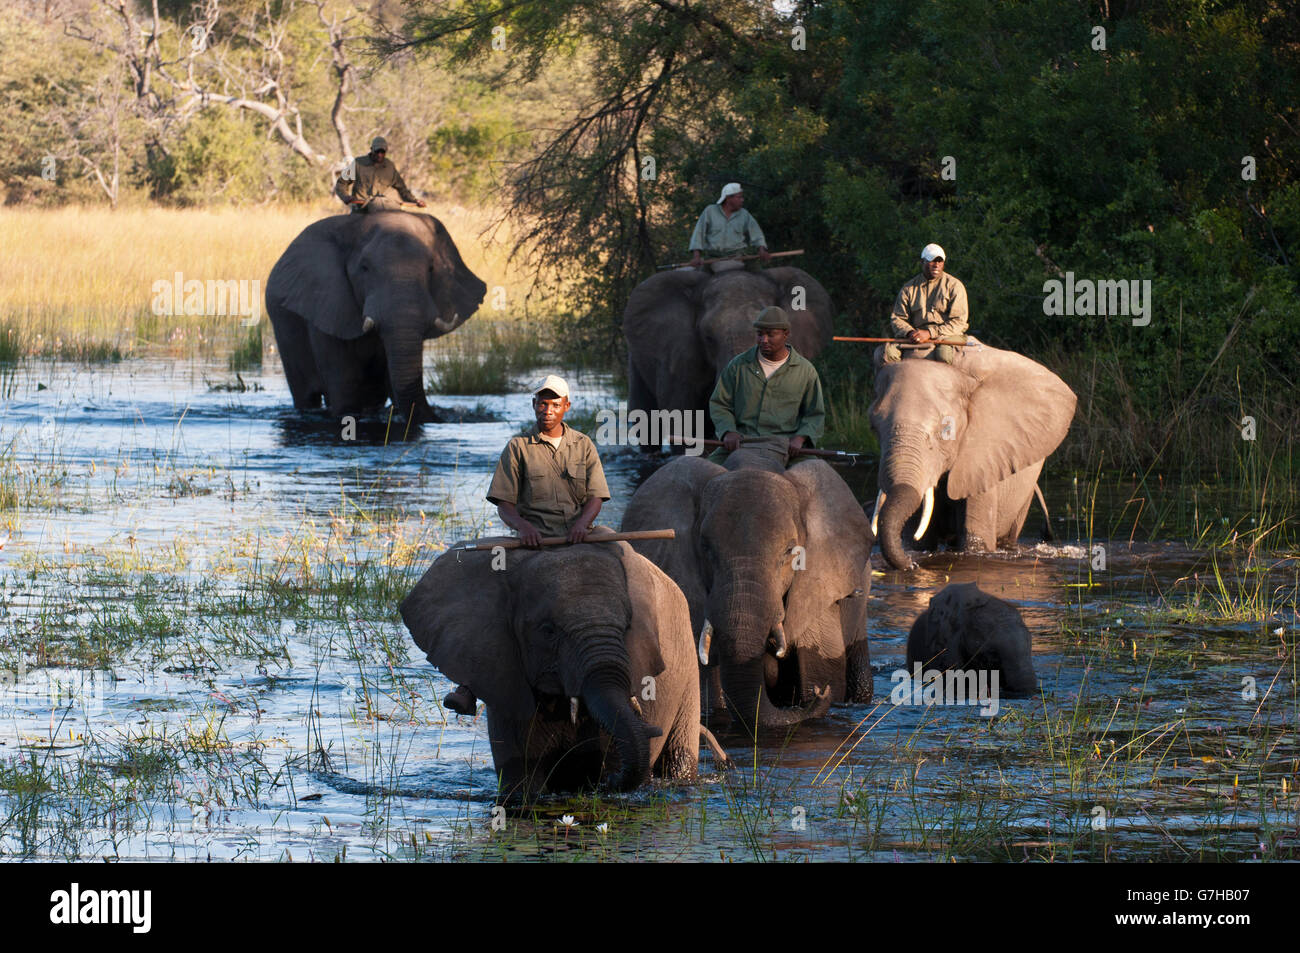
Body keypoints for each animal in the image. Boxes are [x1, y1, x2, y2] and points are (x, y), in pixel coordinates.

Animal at [265, 210, 487, 423]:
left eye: (431, 268)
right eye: (364, 268)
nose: (439, 418)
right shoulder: (326, 303)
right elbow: (344, 386)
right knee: (305, 396)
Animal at [869, 342, 1077, 570]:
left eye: (946, 430)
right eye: (873, 427)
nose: (912, 565)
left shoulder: (983, 456)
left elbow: (974, 540)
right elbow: (919, 541)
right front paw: (914, 552)